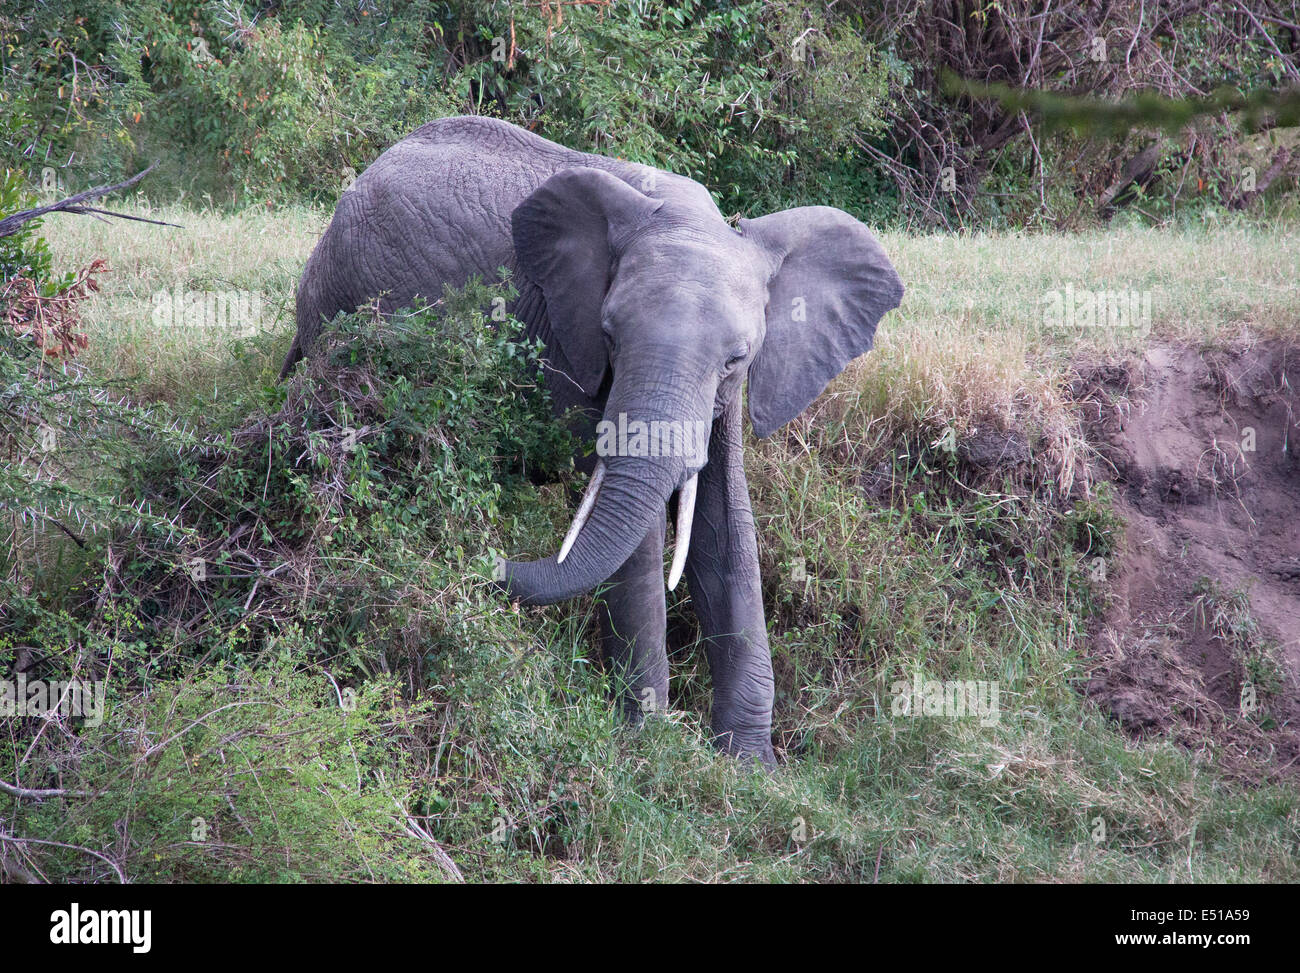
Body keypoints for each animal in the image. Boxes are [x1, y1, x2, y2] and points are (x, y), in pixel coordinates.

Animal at [281, 116, 904, 767]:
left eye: (736, 359)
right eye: (610, 335)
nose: (476, 561)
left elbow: (726, 520)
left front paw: (749, 766)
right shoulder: (566, 338)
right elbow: (638, 535)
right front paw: (649, 744)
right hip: (339, 301)